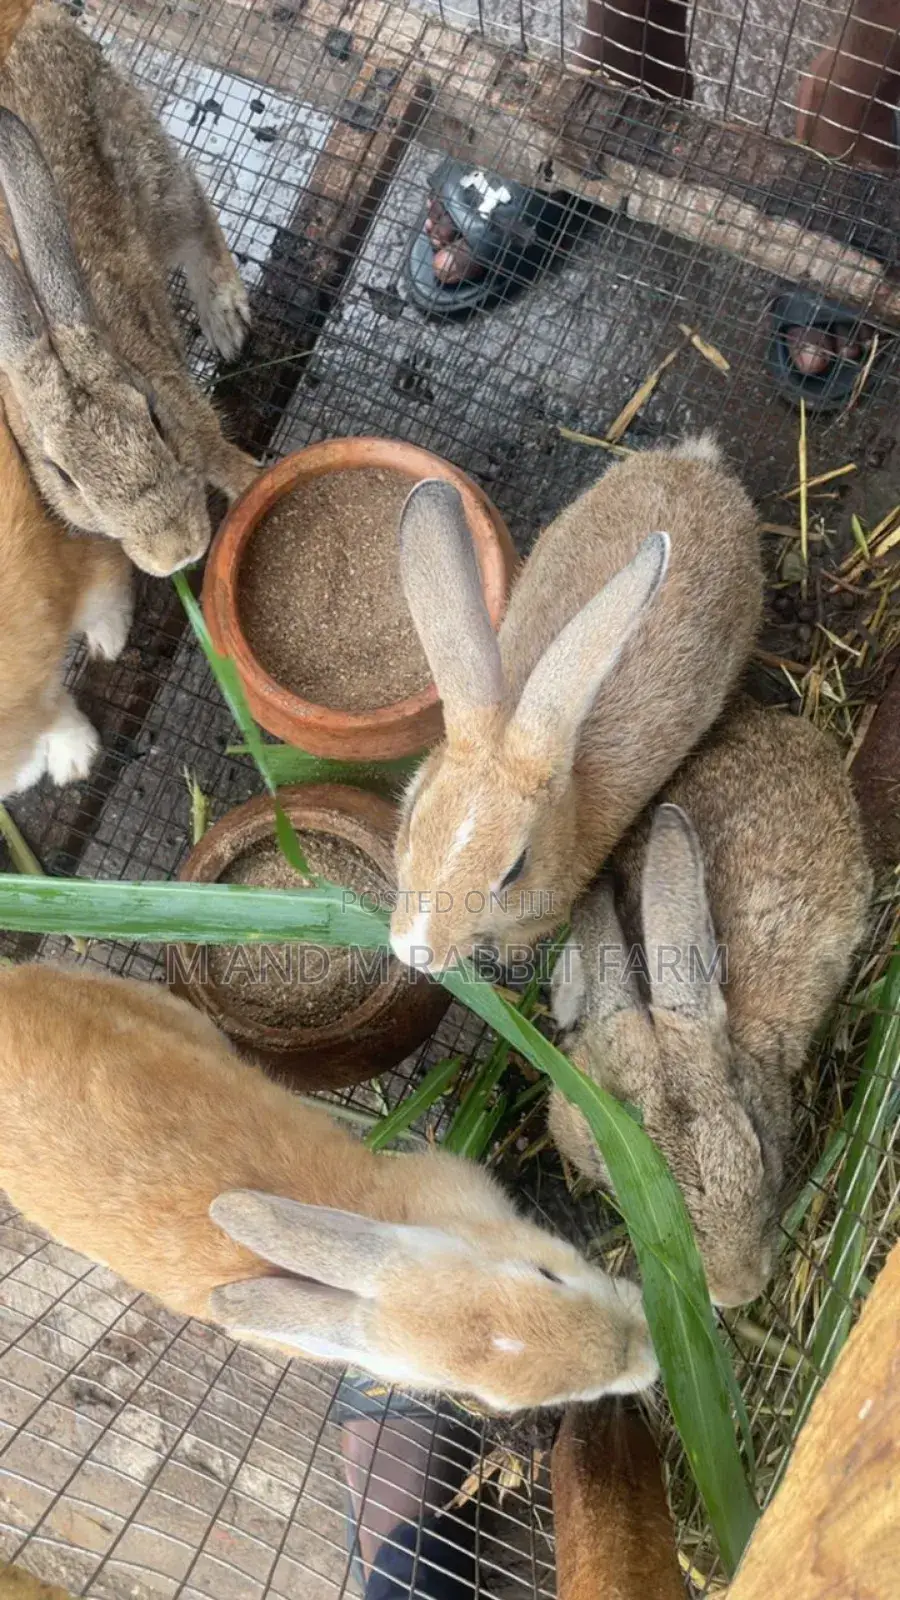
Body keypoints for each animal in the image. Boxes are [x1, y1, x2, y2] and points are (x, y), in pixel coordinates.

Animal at [0, 6, 258, 577]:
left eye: (155, 418)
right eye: (63, 477)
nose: (178, 552)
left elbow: (220, 453)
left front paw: (254, 479)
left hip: (146, 163)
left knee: (197, 213)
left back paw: (225, 320)